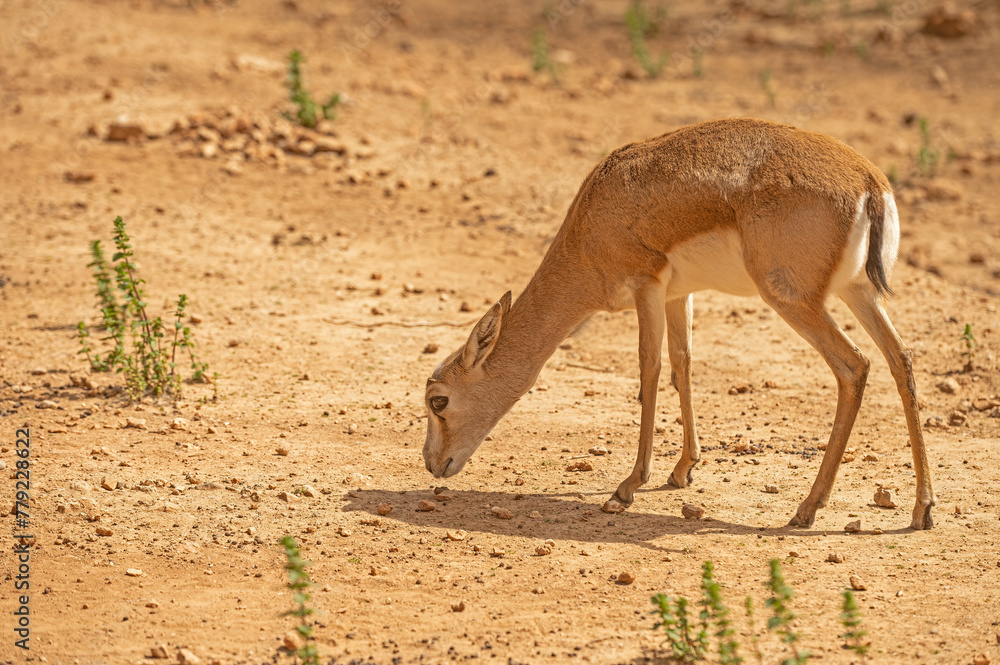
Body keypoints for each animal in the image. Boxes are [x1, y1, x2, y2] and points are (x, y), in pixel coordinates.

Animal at [422, 118, 934, 530]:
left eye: (438, 400)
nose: (432, 464)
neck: (591, 222)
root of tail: (869, 181)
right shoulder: (677, 294)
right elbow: (682, 365)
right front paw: (683, 469)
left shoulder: (646, 284)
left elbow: (648, 370)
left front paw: (627, 487)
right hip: (857, 293)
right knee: (900, 359)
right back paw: (921, 509)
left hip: (793, 299)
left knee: (854, 366)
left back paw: (807, 509)